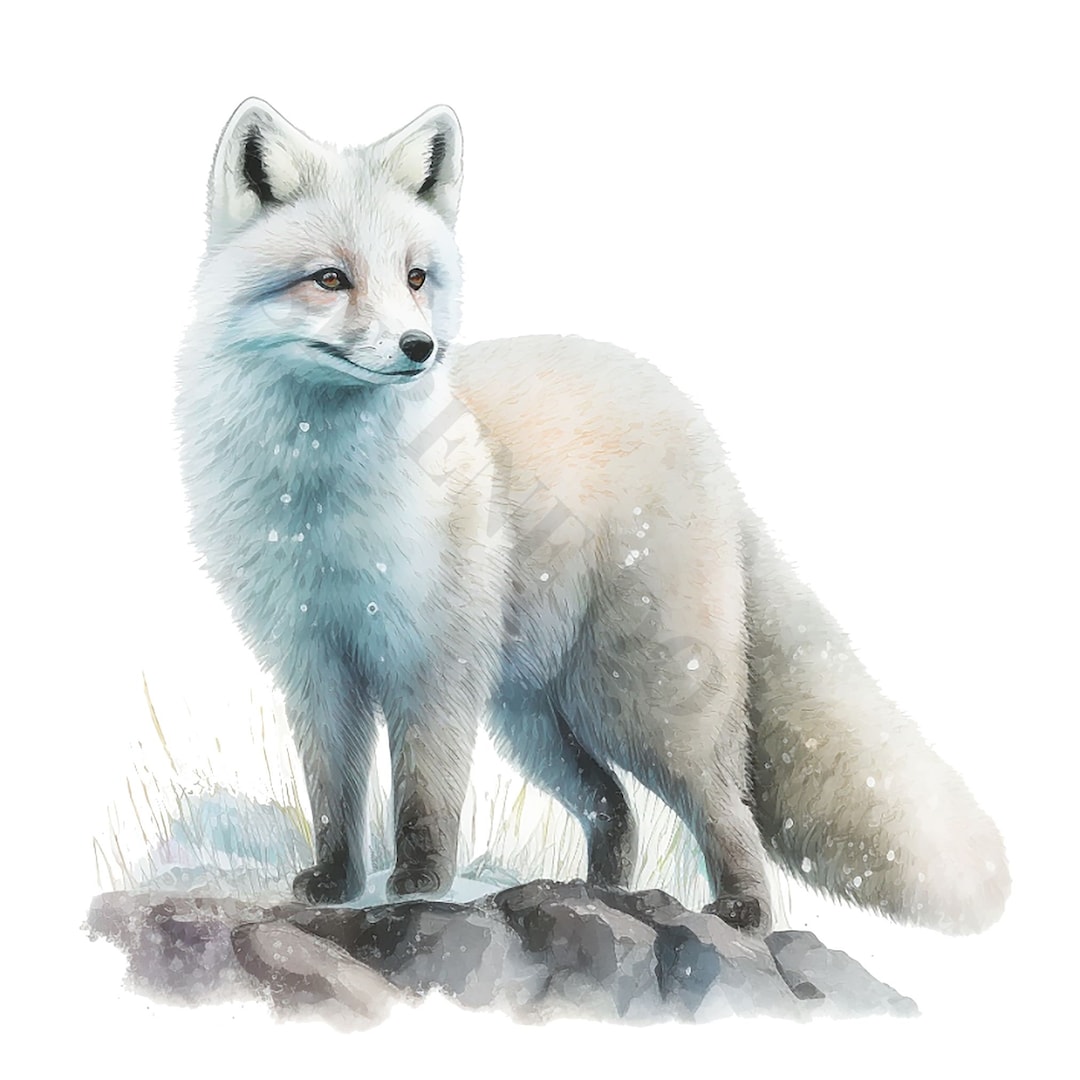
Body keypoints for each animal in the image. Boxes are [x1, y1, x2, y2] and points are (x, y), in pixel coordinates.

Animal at [175, 98, 1010, 935]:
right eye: (330, 279)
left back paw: (739, 910)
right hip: (537, 718)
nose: (420, 346)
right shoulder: (312, 664)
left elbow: (424, 797)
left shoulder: (433, 663)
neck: (317, 504)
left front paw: (417, 885)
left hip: (639, 705)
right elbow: (333, 798)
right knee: (616, 807)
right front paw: (336, 885)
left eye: (416, 277)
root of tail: (706, 439)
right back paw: (599, 896)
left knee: (723, 804)